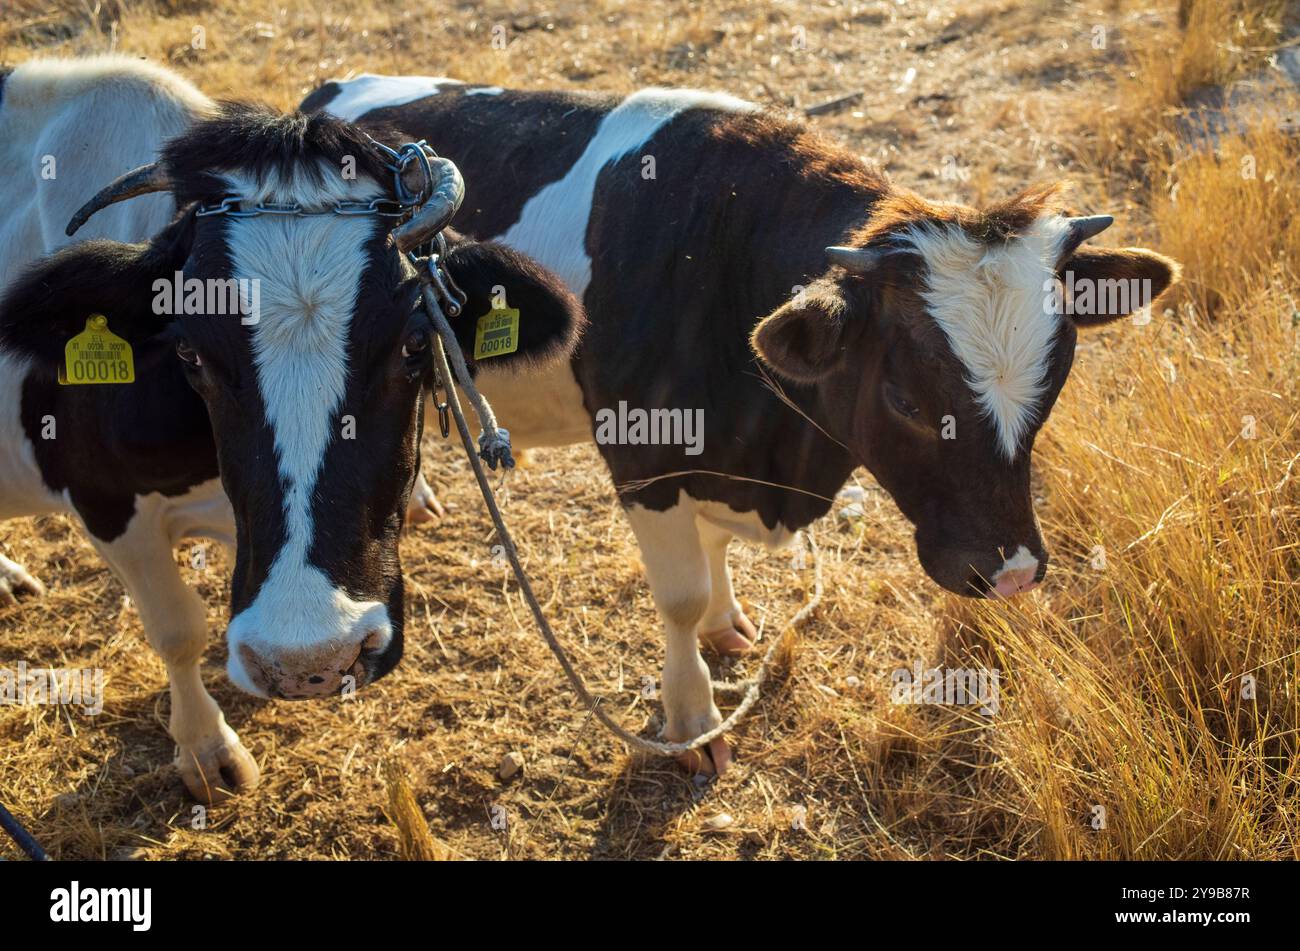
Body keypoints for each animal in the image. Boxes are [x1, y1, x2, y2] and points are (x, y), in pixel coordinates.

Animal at [0, 84, 584, 801]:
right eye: (190, 352)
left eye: (416, 343)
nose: (317, 659)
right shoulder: (103, 502)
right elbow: (177, 629)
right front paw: (207, 751)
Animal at [302, 74, 1180, 775]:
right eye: (903, 399)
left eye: (1054, 378)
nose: (1014, 572)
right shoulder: (645, 459)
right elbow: (680, 597)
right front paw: (693, 721)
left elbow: (714, 555)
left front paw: (729, 624)